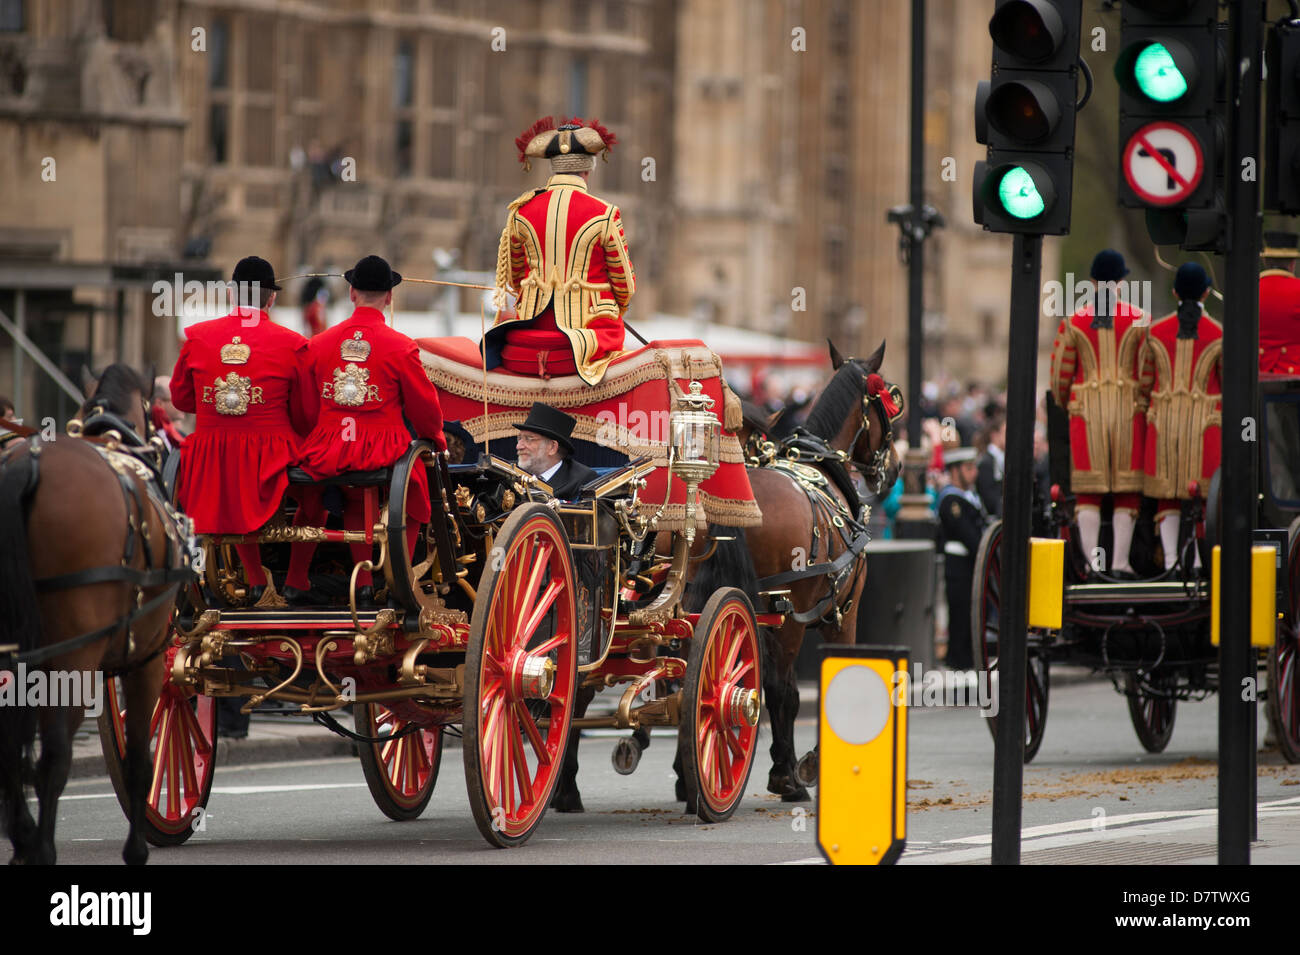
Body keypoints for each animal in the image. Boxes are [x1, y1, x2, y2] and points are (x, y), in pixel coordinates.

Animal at [0, 361, 191, 862]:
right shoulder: (147, 659)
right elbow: (141, 758)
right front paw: (137, 848)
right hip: (73, 654)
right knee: (51, 755)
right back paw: (40, 846)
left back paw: (28, 840)